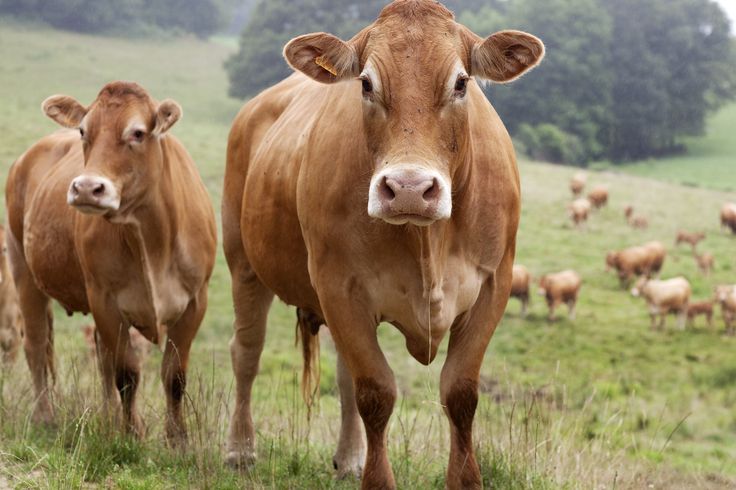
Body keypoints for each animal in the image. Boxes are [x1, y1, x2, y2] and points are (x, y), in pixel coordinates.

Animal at [5, 82, 217, 442]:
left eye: (138, 132)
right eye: (82, 130)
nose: (87, 188)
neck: (152, 240)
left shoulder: (194, 301)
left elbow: (174, 376)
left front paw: (178, 440)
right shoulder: (105, 299)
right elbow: (126, 373)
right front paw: (132, 434)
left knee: (96, 358)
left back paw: (107, 418)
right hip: (23, 269)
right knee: (36, 344)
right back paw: (46, 416)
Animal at [221, 1, 545, 488]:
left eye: (461, 83)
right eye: (366, 83)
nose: (409, 188)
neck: (427, 242)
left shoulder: (493, 285)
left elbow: (460, 392)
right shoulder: (339, 287)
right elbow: (375, 392)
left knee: (341, 376)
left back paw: (350, 456)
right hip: (243, 263)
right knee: (247, 354)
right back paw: (240, 448)